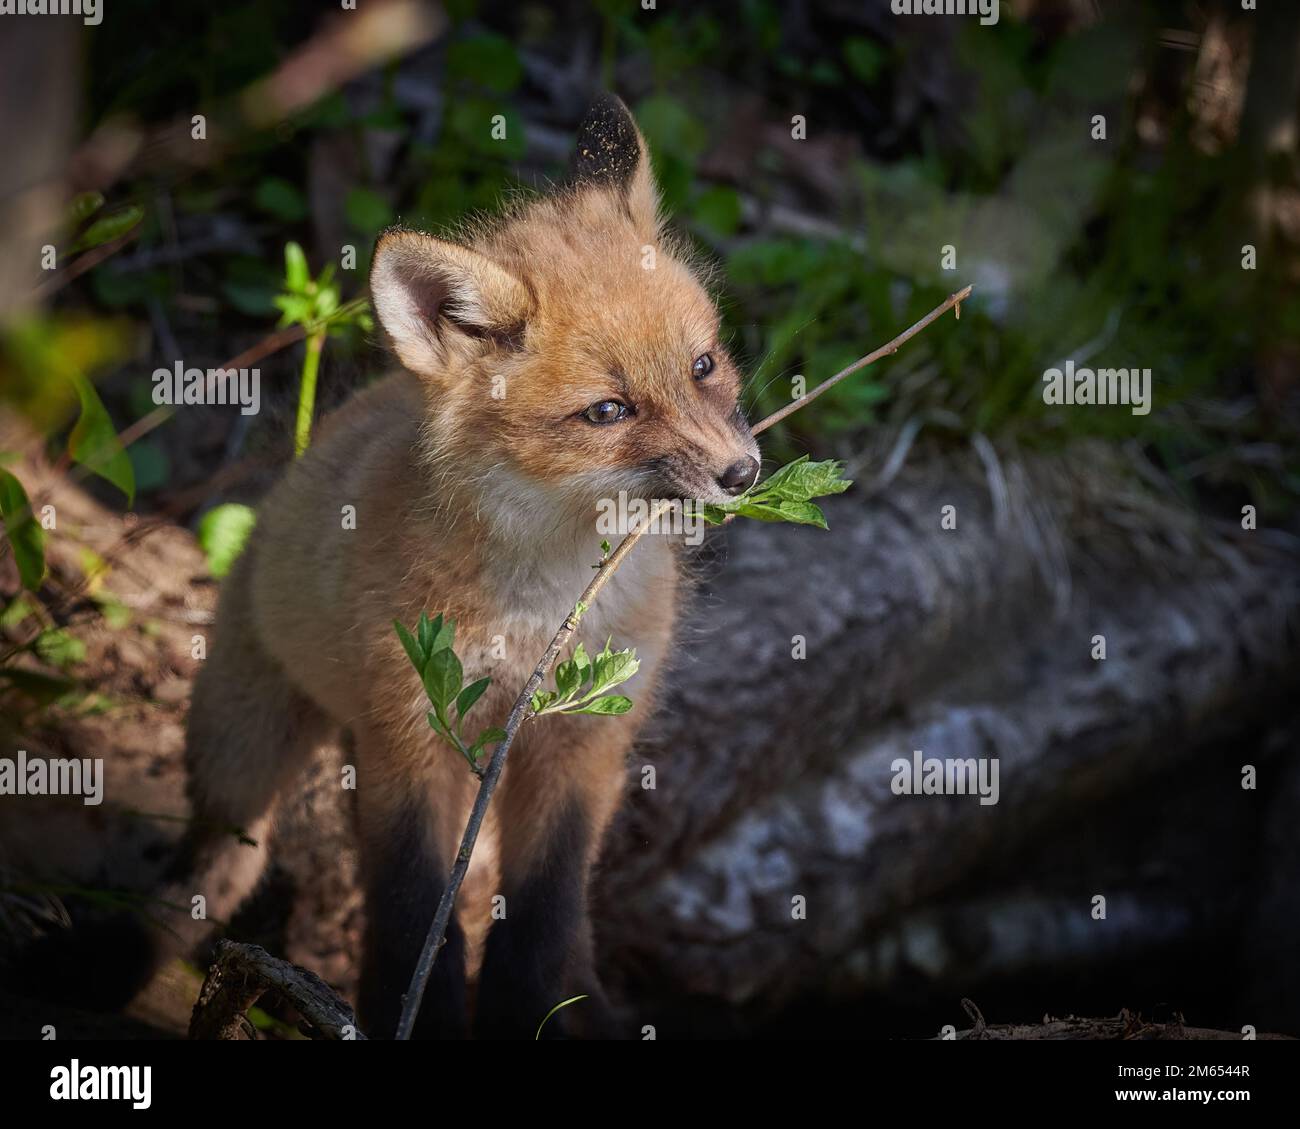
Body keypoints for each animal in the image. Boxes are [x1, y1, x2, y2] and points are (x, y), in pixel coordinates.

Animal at [15, 95, 759, 1039]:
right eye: (608, 411)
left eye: (703, 365)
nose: (743, 472)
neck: (540, 599)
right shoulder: (411, 724)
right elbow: (410, 911)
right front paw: (413, 1013)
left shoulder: (583, 737)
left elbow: (545, 914)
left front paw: (532, 1012)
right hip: (243, 740)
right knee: (215, 865)